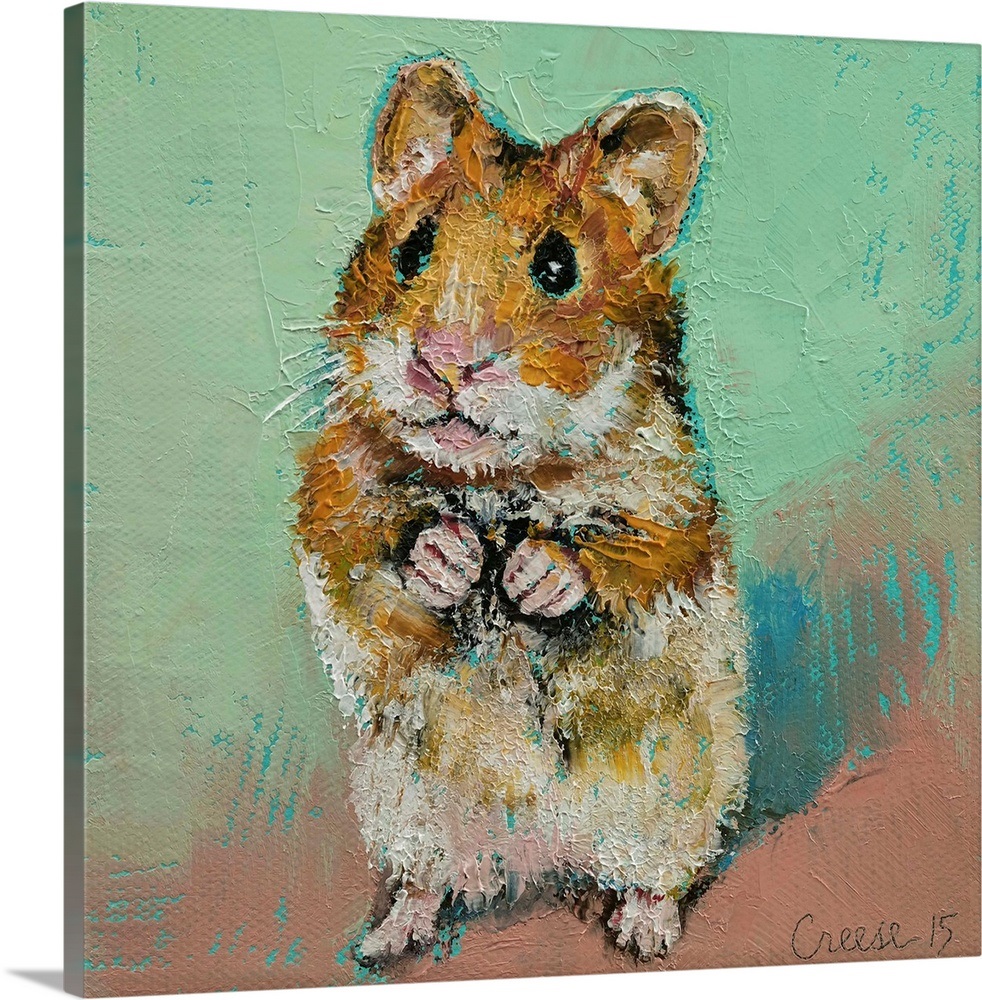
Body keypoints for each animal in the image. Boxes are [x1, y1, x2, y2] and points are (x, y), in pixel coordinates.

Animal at [295, 57, 748, 963]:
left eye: (558, 267)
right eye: (413, 248)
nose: (443, 363)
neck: (497, 478)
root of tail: (540, 854)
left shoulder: (677, 516)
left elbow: (618, 553)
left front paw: (534, 572)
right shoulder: (334, 507)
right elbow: (379, 550)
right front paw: (452, 558)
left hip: (679, 794)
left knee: (656, 873)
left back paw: (642, 935)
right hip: (403, 805)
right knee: (428, 881)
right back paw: (384, 940)